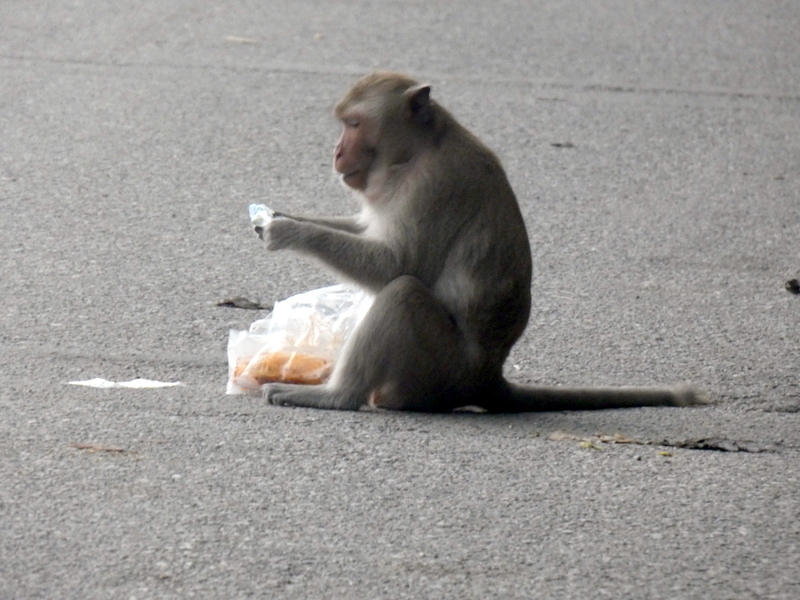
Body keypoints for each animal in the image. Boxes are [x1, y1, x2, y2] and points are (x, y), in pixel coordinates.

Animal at [254, 71, 706, 412]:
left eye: (354, 124)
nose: (336, 153)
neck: (415, 153)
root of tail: (487, 376)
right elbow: (367, 232)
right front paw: (275, 217)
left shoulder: (433, 186)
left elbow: (397, 264)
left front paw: (288, 231)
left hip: (438, 369)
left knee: (402, 293)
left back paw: (337, 396)